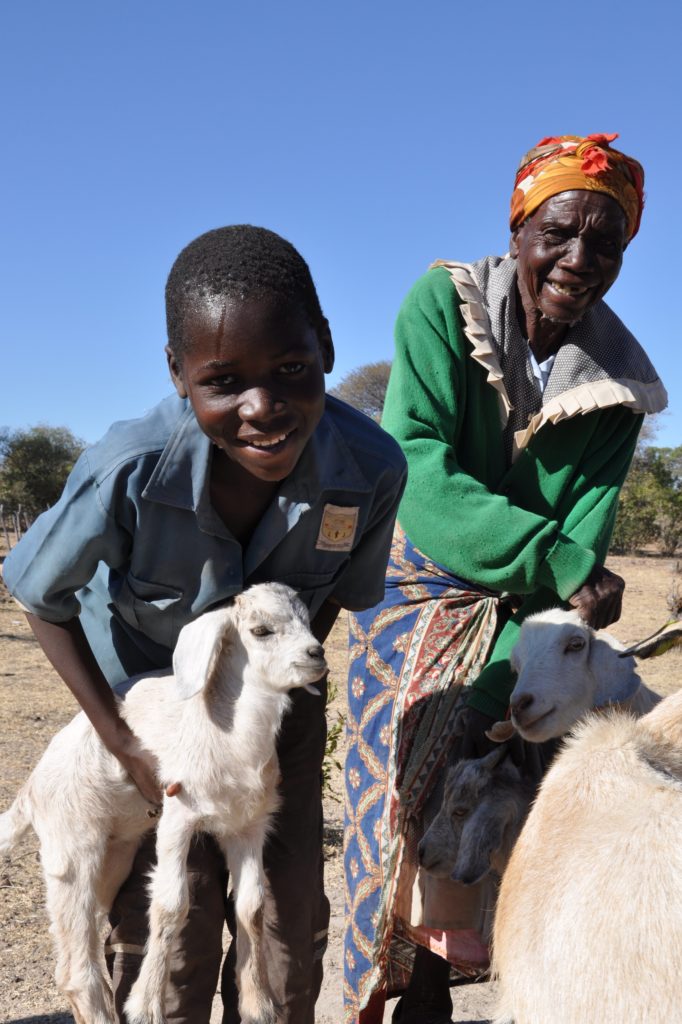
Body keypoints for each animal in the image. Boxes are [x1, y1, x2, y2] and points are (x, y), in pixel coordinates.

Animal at [0, 582, 327, 1024]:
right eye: (260, 630)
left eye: (307, 620)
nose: (316, 654)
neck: (227, 737)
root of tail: (29, 791)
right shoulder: (177, 814)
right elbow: (171, 904)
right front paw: (145, 1004)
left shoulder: (247, 825)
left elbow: (253, 905)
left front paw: (259, 1003)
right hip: (71, 848)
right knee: (73, 969)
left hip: (114, 857)